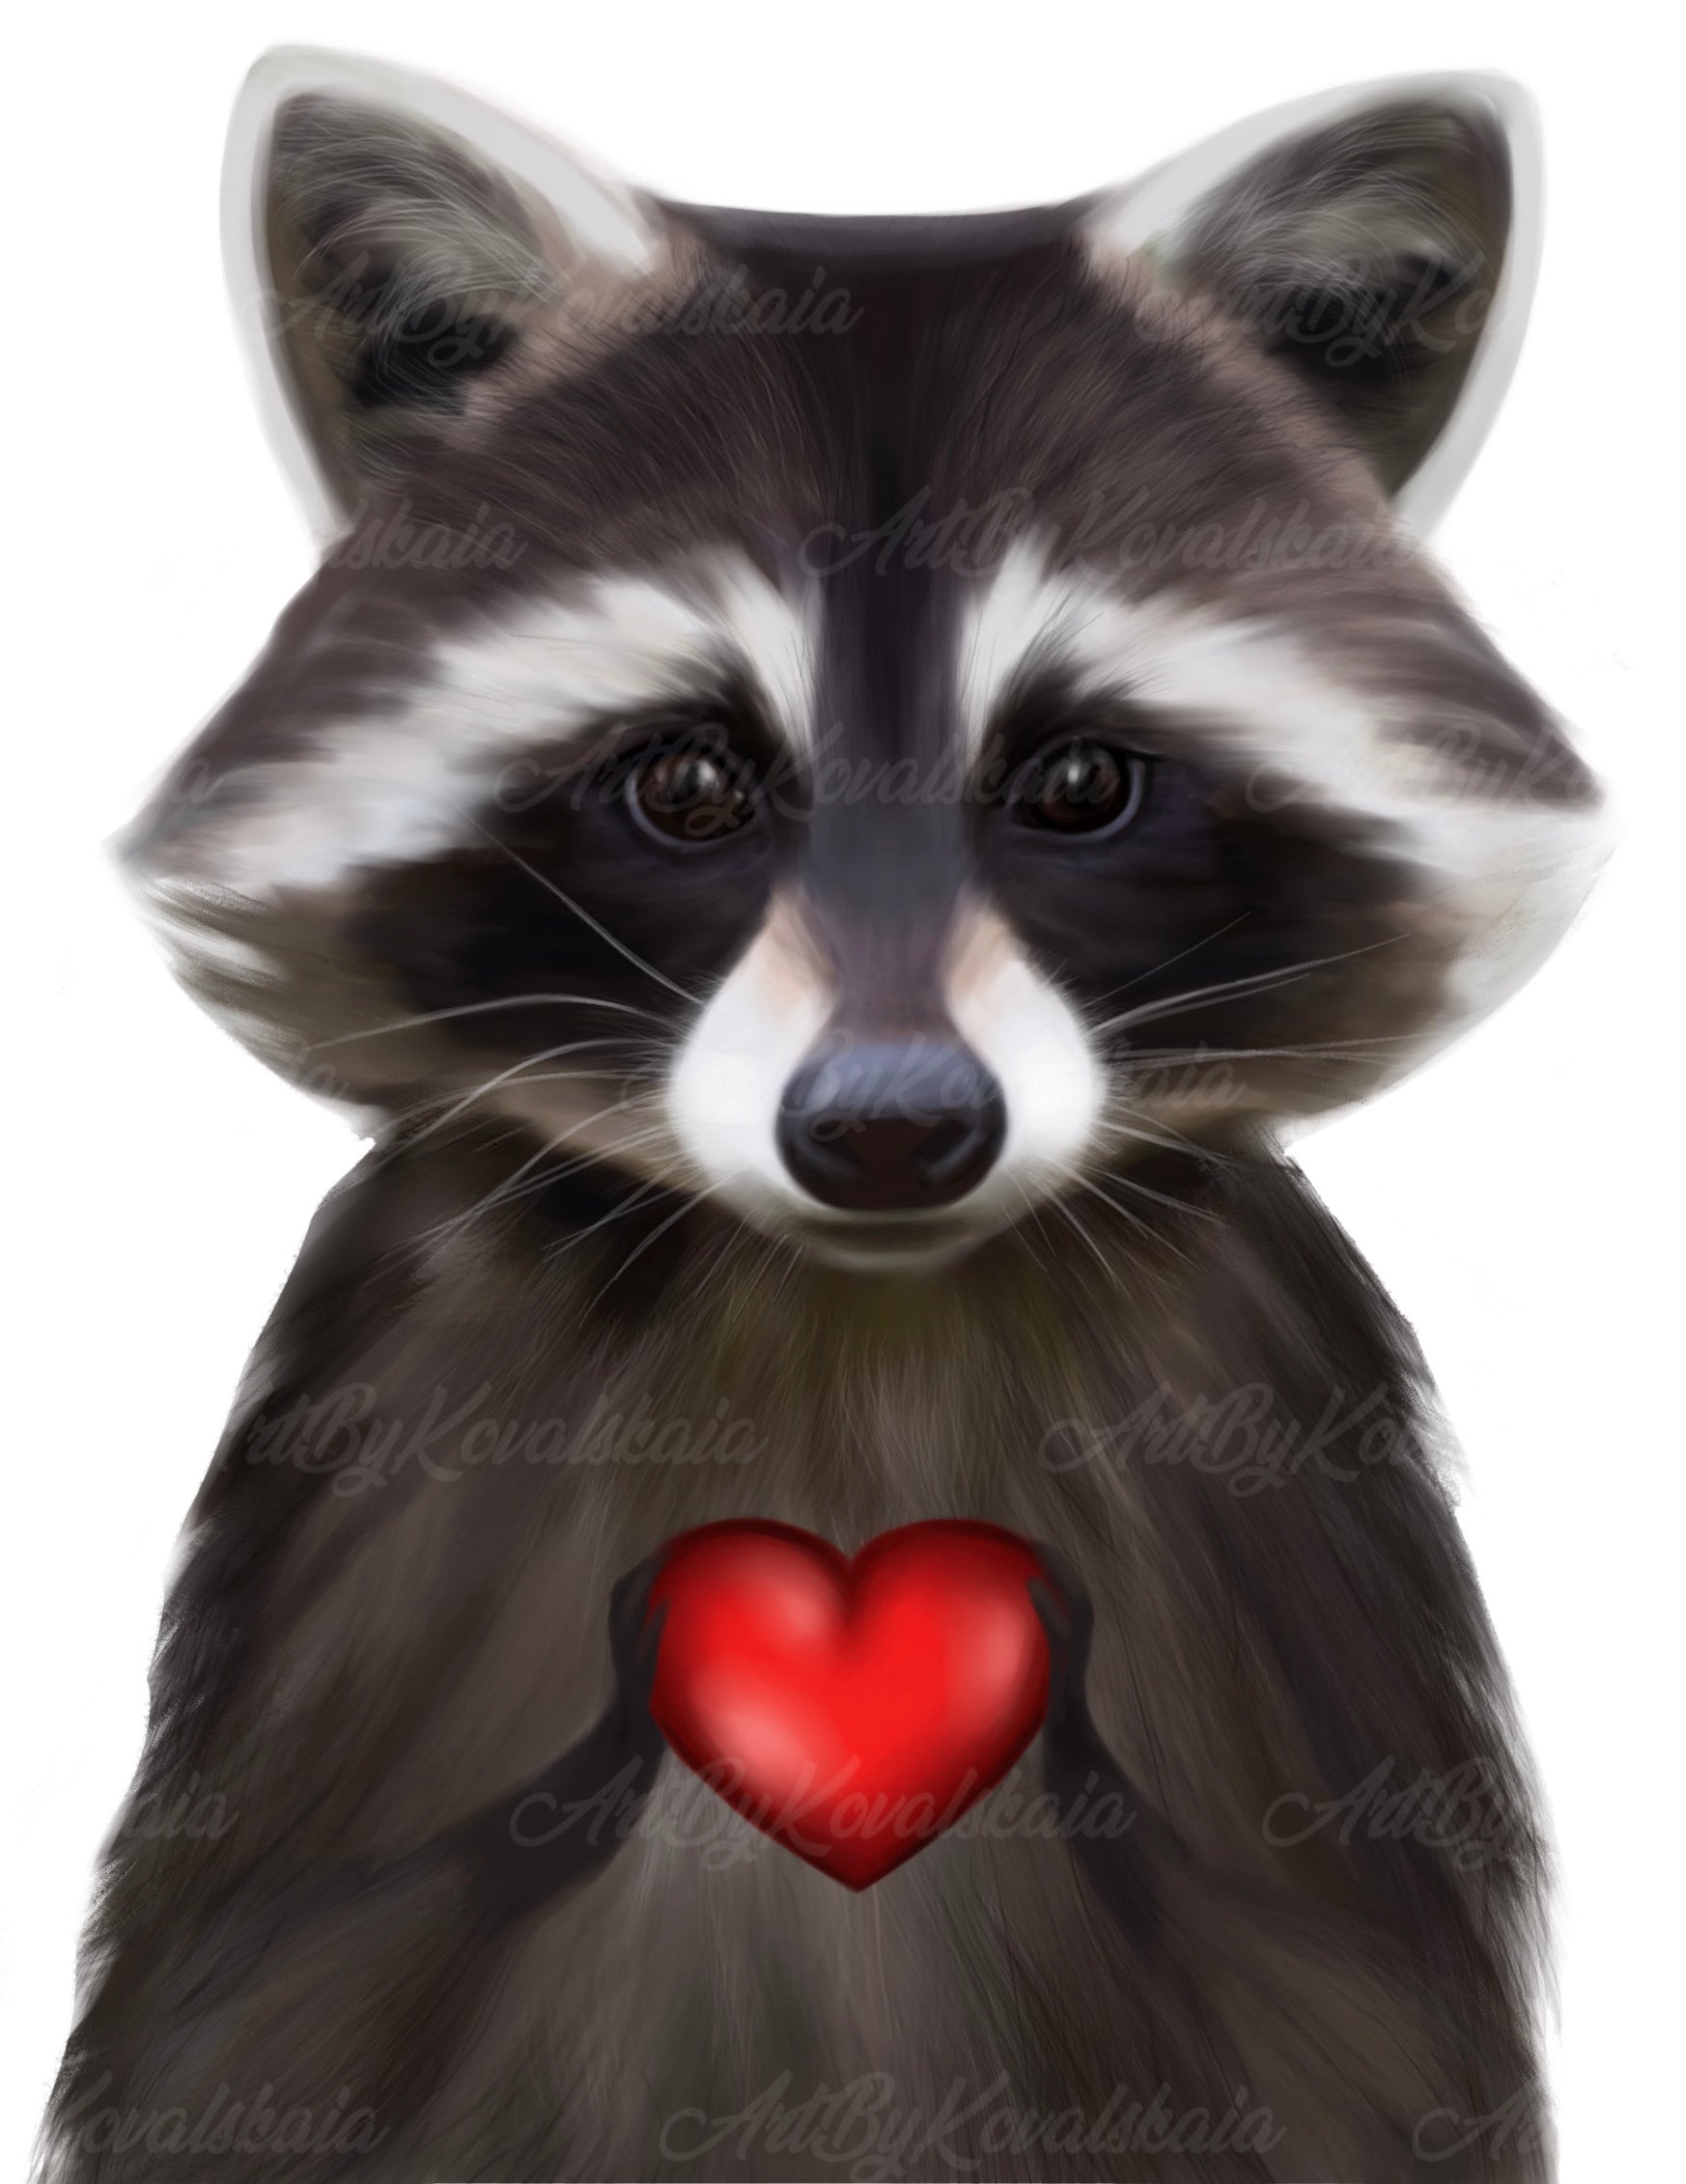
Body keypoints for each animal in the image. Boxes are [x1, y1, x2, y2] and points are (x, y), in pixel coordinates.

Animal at [42, 48, 1605, 2184]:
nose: (888, 1127)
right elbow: (284, 1992)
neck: (852, 1302)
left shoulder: (1288, 1512)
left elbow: (1331, 1991)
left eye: (1080, 784)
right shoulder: (372, 1512)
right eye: (690, 781)